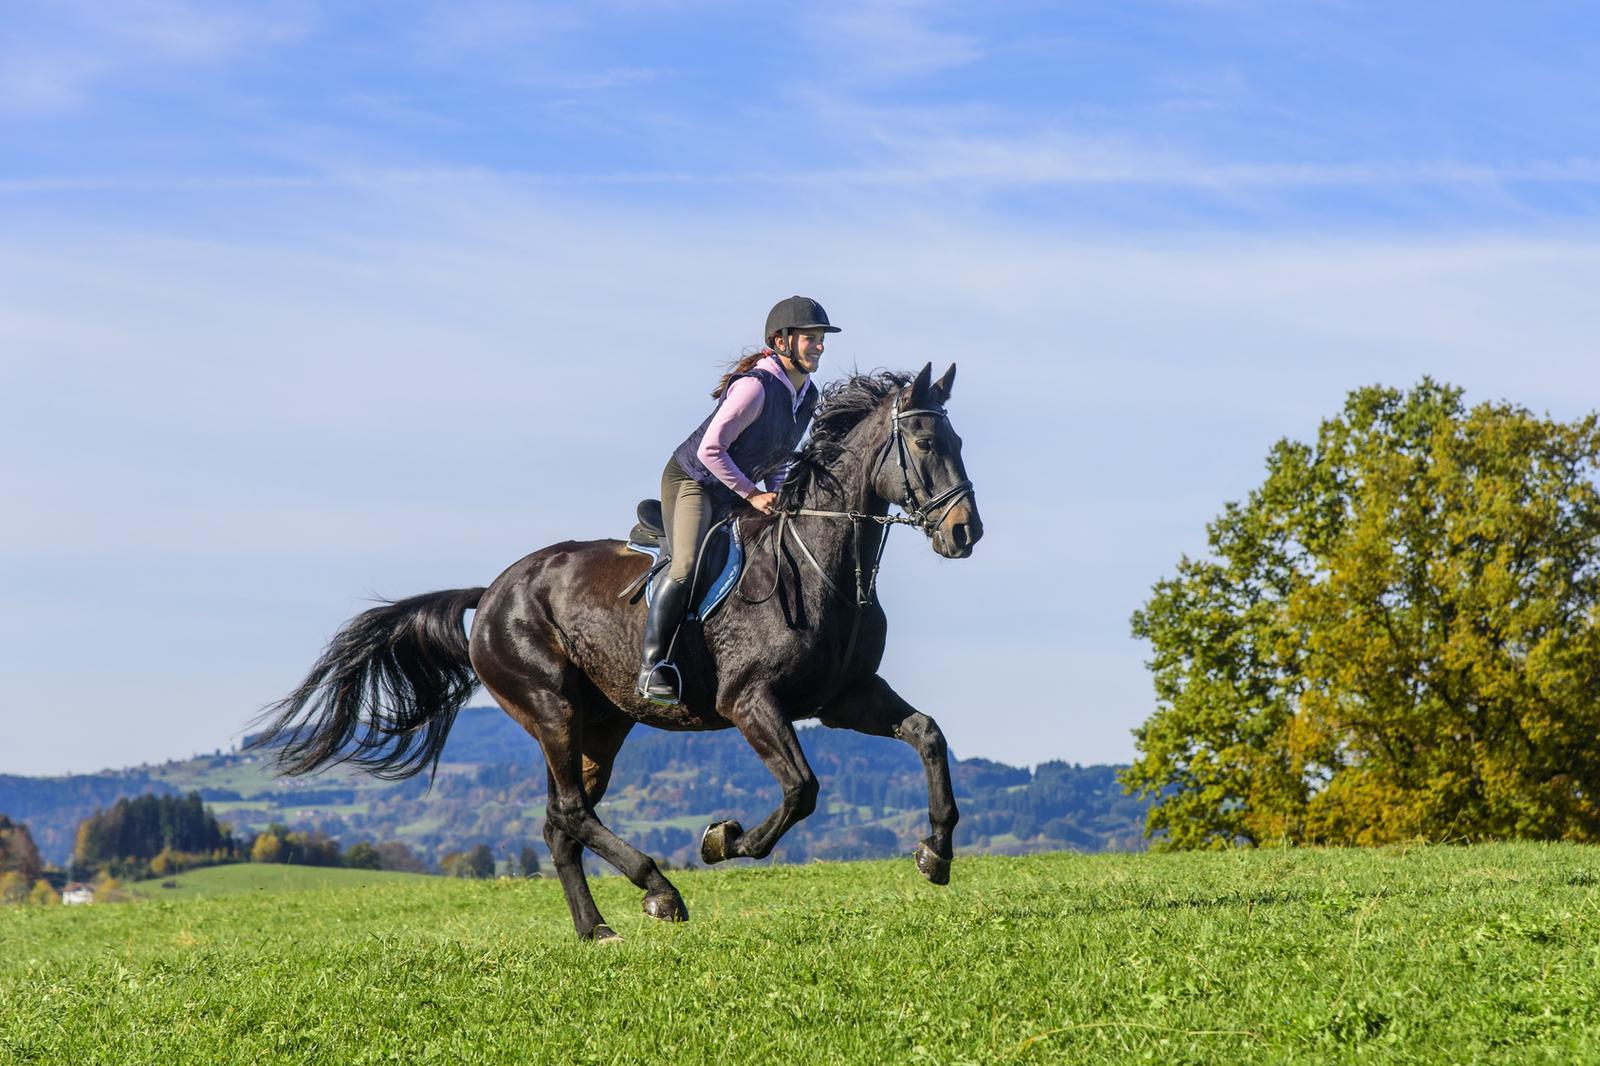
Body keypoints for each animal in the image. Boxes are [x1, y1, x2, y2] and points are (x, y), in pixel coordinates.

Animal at [251, 361, 983, 940]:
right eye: (924, 441)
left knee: (561, 822)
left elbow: (927, 733)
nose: (965, 532)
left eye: (958, 439)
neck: (817, 564)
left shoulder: (844, 698)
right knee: (572, 812)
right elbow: (801, 790)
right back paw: (660, 891)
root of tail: (492, 592)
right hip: (552, 708)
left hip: (603, 724)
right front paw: (722, 840)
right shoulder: (751, 702)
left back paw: (595, 928)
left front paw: (936, 853)